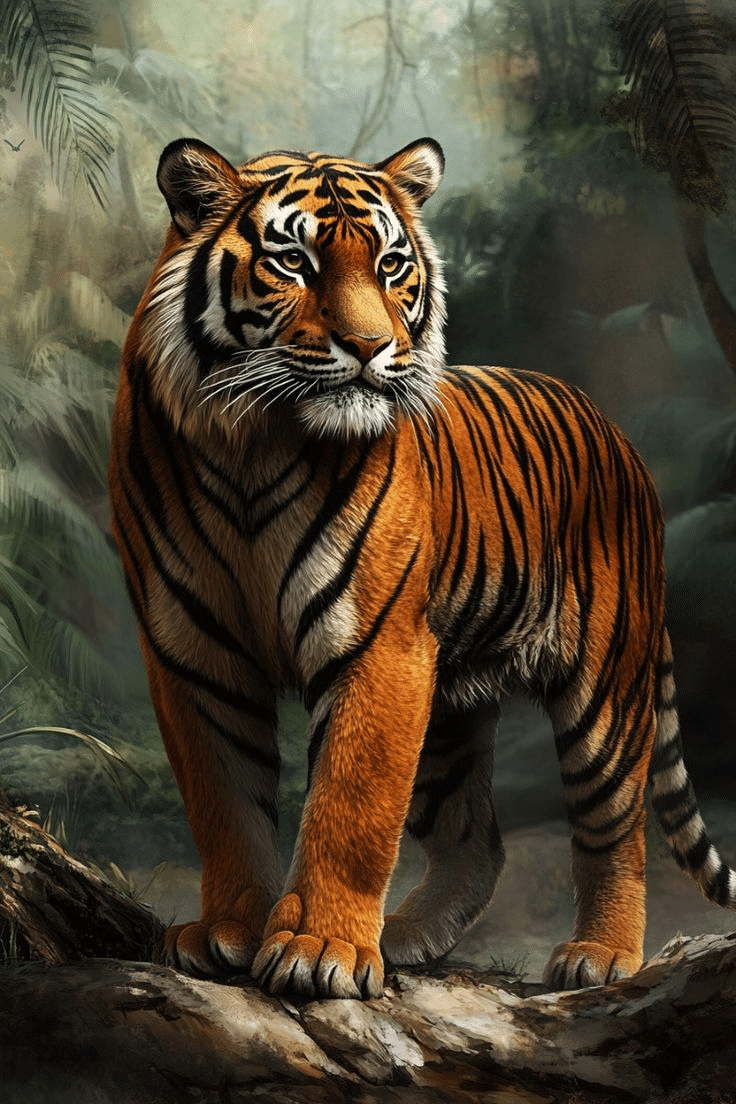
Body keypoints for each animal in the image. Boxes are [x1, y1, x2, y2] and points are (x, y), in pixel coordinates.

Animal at [109, 135, 736, 1000]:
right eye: (294, 262)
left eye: (390, 264)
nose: (371, 349)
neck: (253, 442)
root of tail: (609, 423)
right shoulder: (194, 652)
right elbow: (224, 804)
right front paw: (228, 932)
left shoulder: (379, 647)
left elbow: (351, 805)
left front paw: (321, 949)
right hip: (448, 708)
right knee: (477, 842)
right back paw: (407, 936)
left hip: (604, 685)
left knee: (616, 827)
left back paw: (600, 955)